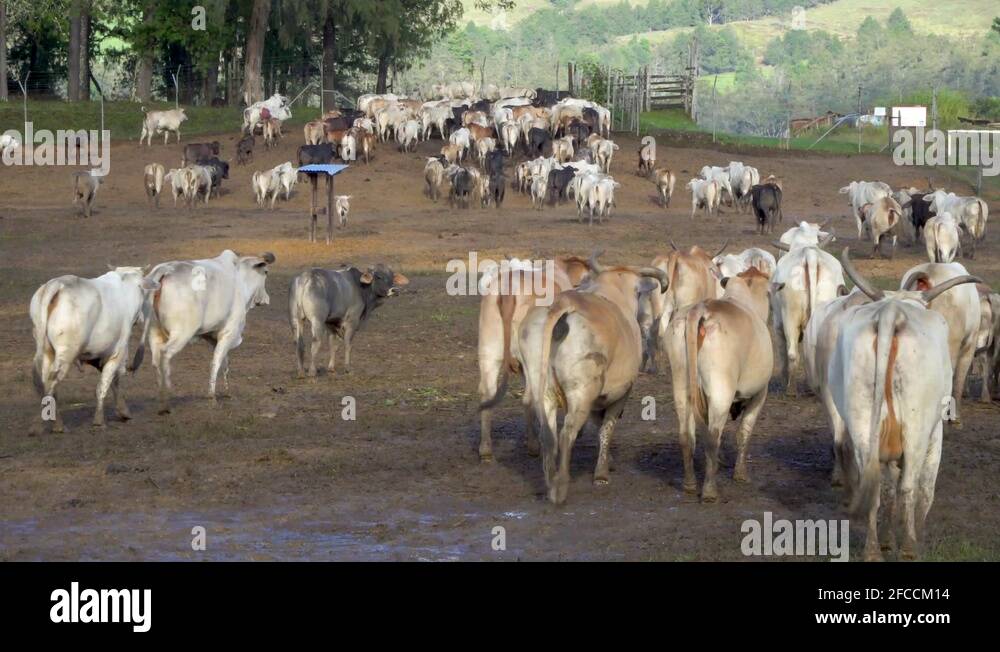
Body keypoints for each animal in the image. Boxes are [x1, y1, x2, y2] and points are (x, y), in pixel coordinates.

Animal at [30, 267, 159, 432]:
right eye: (143, 293)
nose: (141, 318)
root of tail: (57, 285)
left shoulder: (100, 357)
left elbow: (114, 382)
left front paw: (123, 412)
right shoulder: (117, 353)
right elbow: (104, 385)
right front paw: (99, 421)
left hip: (48, 353)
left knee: (48, 386)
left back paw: (57, 424)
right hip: (66, 354)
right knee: (50, 384)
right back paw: (43, 425)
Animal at [134, 250, 275, 413]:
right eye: (266, 272)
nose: (266, 299)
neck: (239, 277)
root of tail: (166, 270)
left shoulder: (212, 336)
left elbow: (225, 363)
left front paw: (226, 391)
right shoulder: (229, 332)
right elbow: (216, 362)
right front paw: (211, 396)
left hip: (154, 332)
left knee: (156, 360)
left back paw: (161, 397)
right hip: (182, 333)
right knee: (165, 354)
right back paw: (167, 396)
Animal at [515, 253, 669, 503]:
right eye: (638, 293)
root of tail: (562, 305)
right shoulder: (620, 392)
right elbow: (606, 428)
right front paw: (602, 473)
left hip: (543, 389)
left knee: (548, 434)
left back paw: (550, 481)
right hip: (582, 391)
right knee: (566, 433)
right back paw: (560, 487)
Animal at [665, 268, 773, 501]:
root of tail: (701, 309)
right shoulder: (760, 393)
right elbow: (744, 432)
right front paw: (740, 474)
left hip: (681, 385)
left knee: (686, 435)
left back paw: (690, 484)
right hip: (720, 390)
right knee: (712, 437)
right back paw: (709, 490)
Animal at [831, 249, 980, 560]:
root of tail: (892, 312)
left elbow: (889, 489)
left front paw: (889, 539)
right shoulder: (935, 435)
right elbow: (925, 488)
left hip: (862, 424)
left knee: (875, 488)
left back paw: (873, 550)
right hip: (917, 429)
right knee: (910, 486)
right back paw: (910, 547)